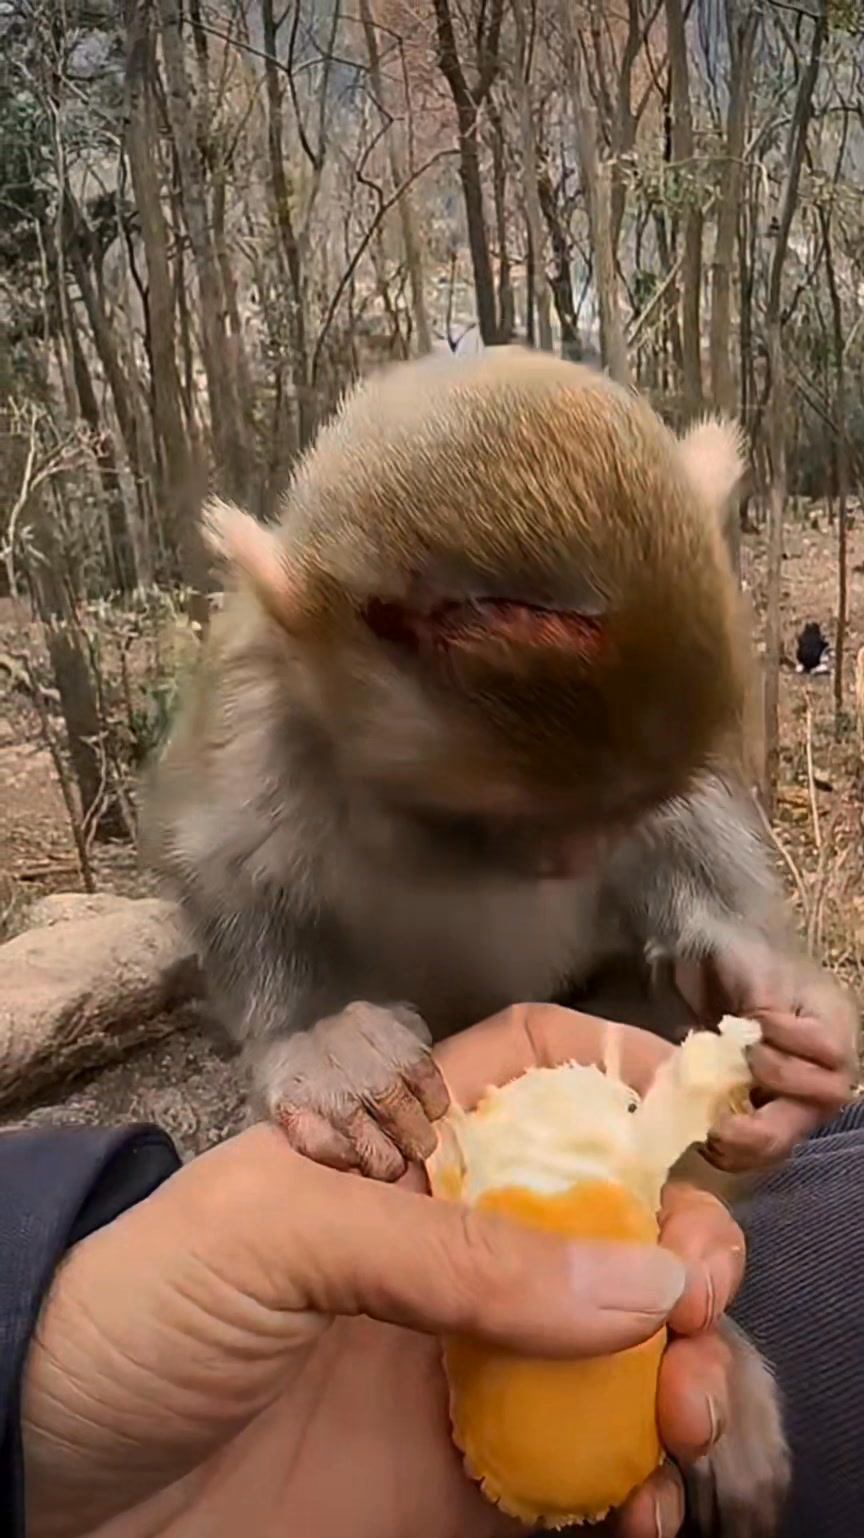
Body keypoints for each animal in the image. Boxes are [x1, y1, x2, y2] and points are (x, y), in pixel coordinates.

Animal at [141, 347, 856, 1538]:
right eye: (506, 824)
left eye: (603, 819)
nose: (568, 859)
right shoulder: (250, 725)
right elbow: (229, 877)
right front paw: (328, 1048)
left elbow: (695, 830)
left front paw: (776, 1003)